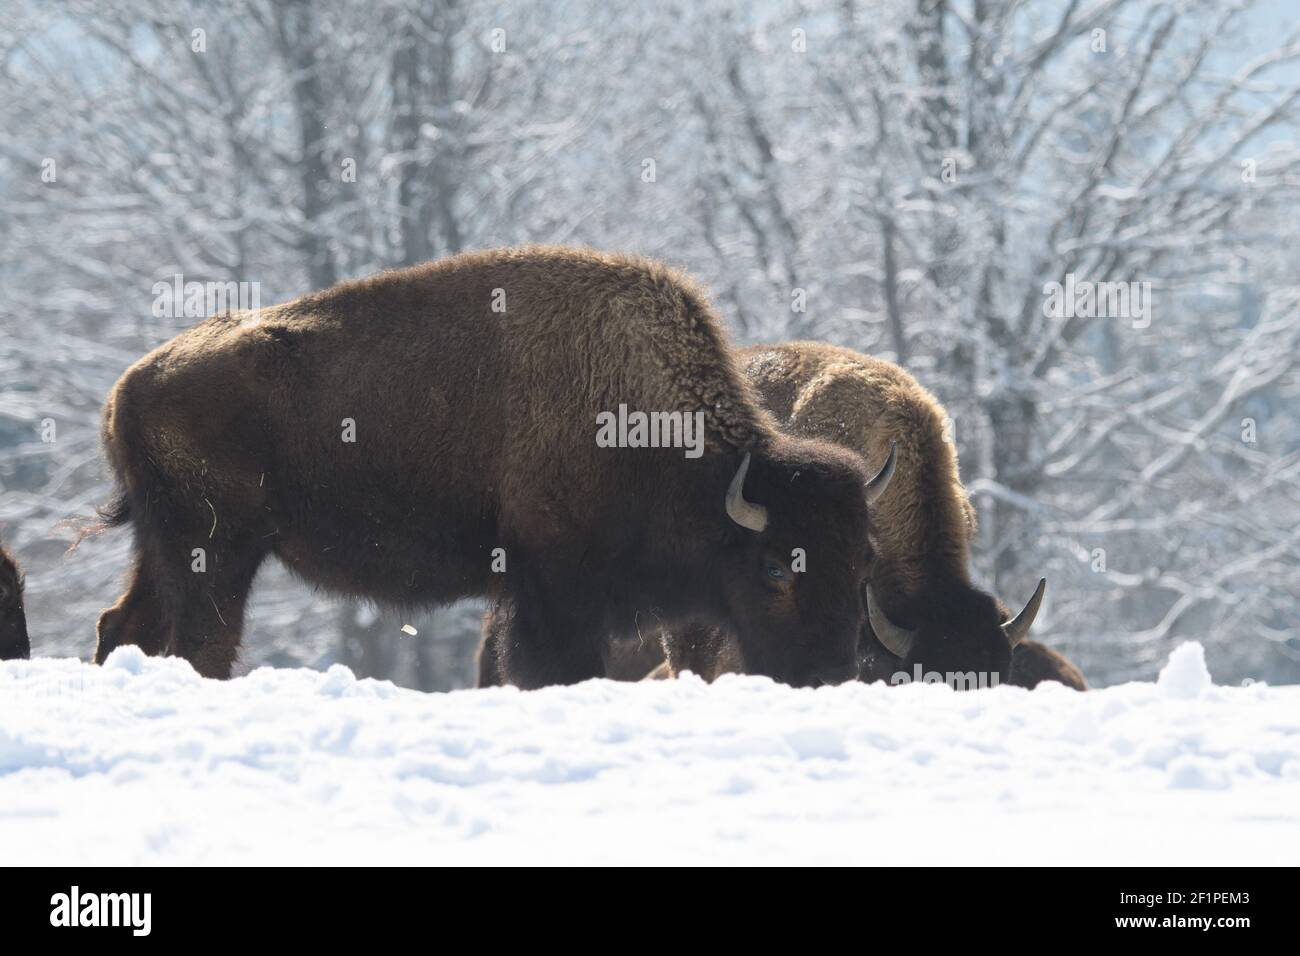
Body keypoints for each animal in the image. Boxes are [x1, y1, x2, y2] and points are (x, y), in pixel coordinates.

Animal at [95, 247, 893, 687]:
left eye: (862, 566)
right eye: (776, 568)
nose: (827, 674)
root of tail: (130, 385)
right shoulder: (552, 589)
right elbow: (550, 667)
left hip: (165, 551)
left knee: (125, 626)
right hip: (215, 553)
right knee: (201, 643)